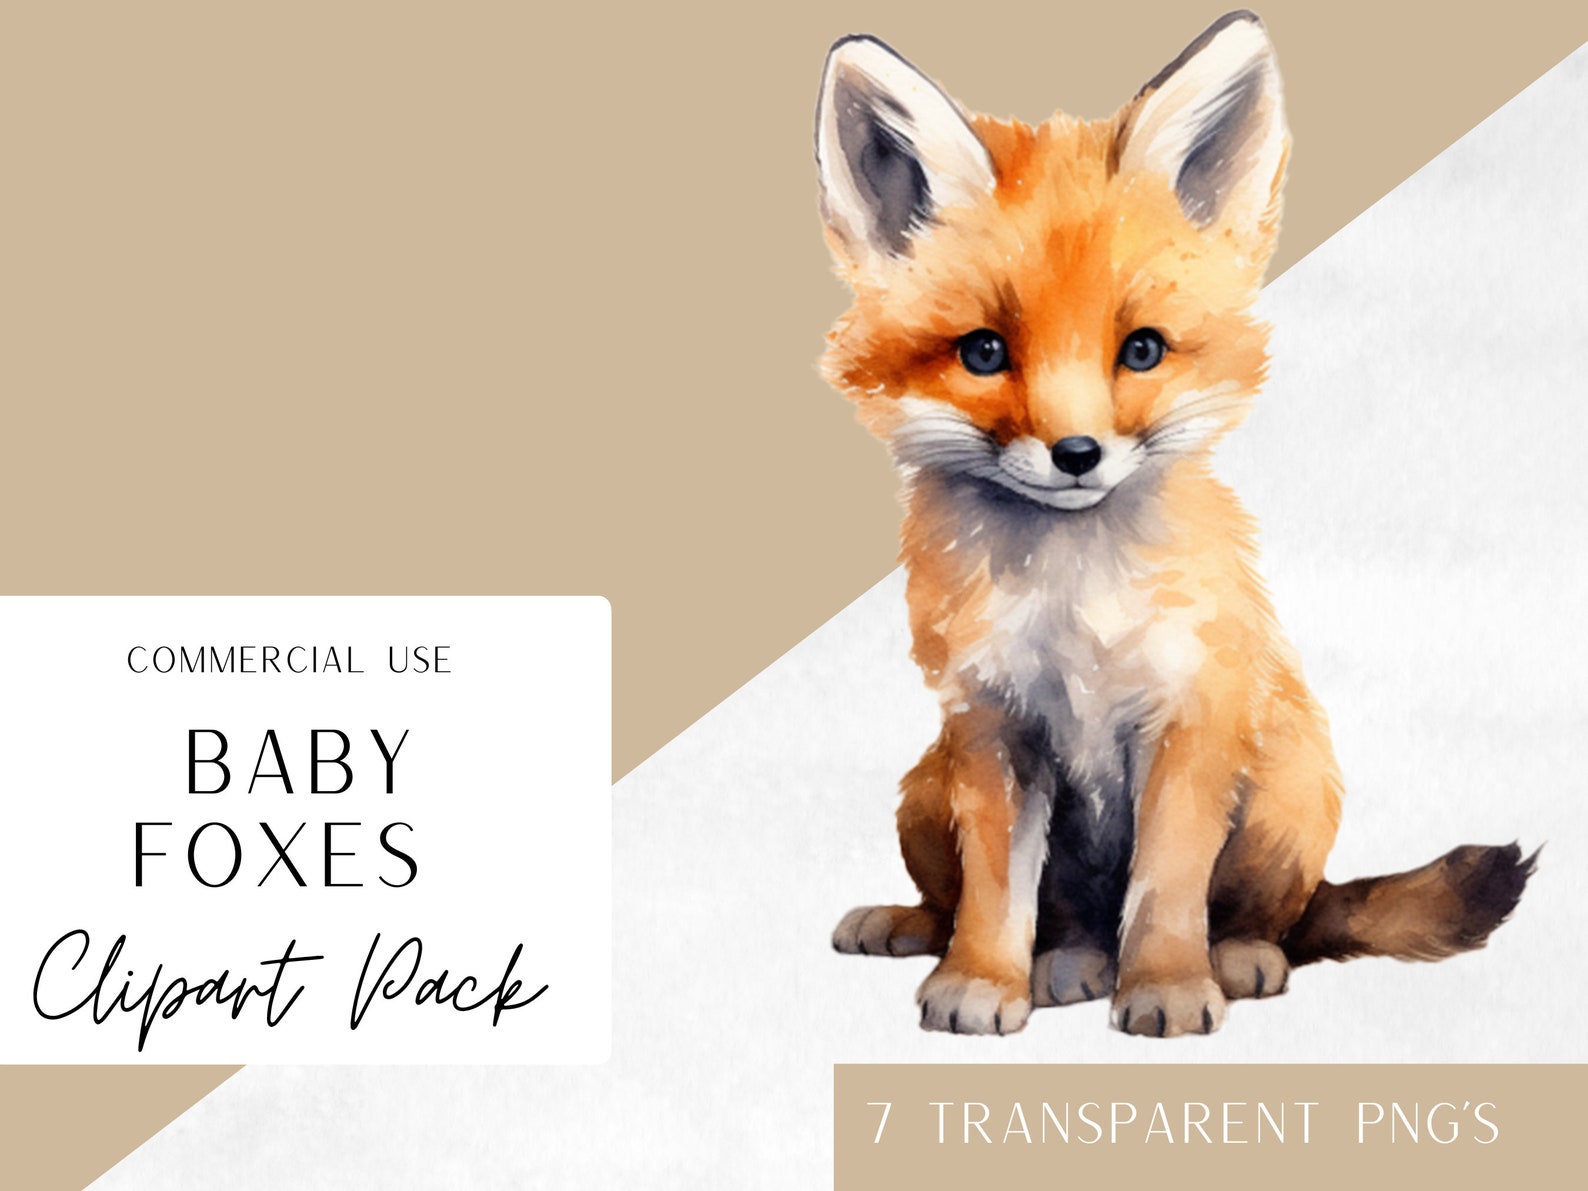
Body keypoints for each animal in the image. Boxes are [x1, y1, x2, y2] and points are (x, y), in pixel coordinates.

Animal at [815, 11, 1534, 1037]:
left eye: (1142, 350)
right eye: (984, 353)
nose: (1076, 453)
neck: (1073, 604)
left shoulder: (1188, 720)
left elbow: (1166, 886)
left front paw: (1164, 985)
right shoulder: (992, 727)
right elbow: (995, 891)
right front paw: (983, 979)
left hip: (1290, 788)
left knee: (1287, 922)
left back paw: (1231, 959)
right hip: (925, 786)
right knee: (1021, 914)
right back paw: (1011, 950)